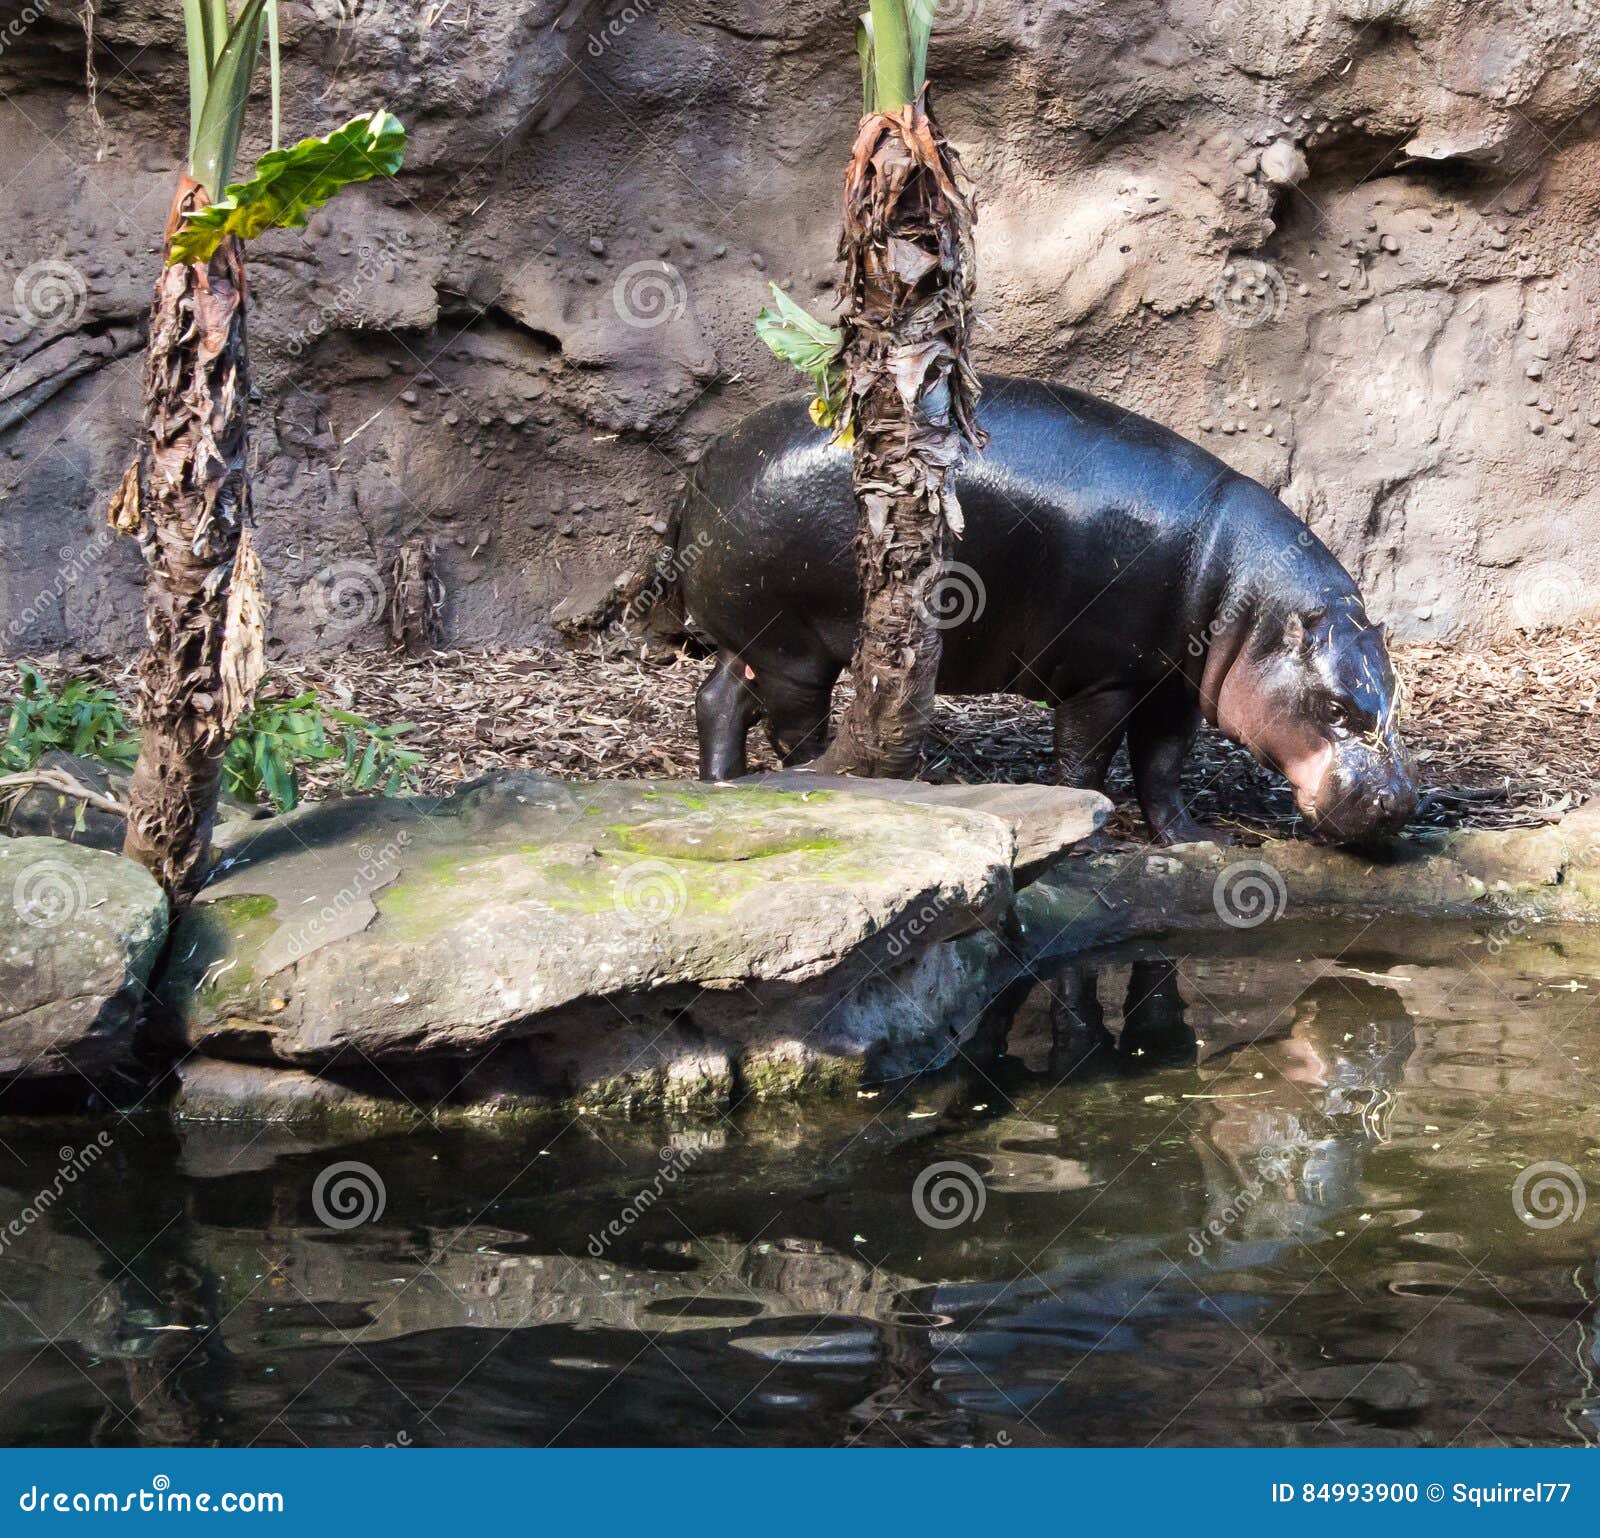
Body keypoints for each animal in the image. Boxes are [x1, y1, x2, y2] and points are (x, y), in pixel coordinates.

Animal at [671, 376, 1417, 846]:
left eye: (1394, 696)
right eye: (1334, 708)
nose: (1403, 802)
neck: (1246, 593)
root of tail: (700, 470)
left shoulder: (1173, 686)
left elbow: (1163, 766)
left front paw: (1194, 838)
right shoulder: (1106, 679)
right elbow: (1087, 757)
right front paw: (1091, 832)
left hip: (761, 640)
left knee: (719, 697)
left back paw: (722, 786)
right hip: (797, 649)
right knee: (793, 725)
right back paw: (825, 779)